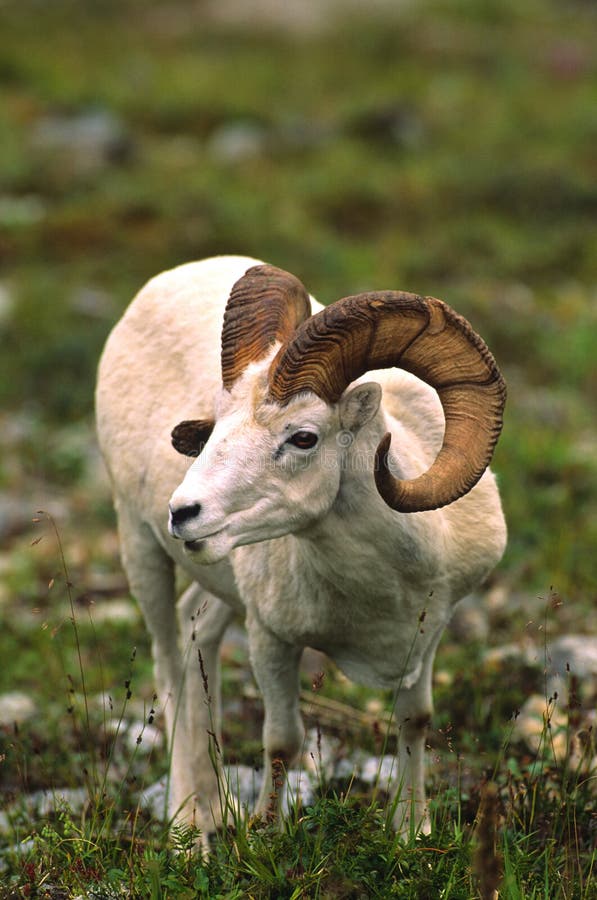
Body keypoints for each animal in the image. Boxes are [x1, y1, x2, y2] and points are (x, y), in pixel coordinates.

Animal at [95, 255, 507, 841]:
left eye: (304, 437)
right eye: (216, 423)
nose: (184, 513)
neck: (377, 591)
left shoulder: (427, 634)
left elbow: (415, 720)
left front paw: (412, 831)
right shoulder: (271, 640)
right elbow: (282, 741)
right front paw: (265, 837)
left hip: (217, 581)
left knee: (198, 638)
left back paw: (218, 809)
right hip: (140, 546)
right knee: (169, 665)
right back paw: (188, 826)